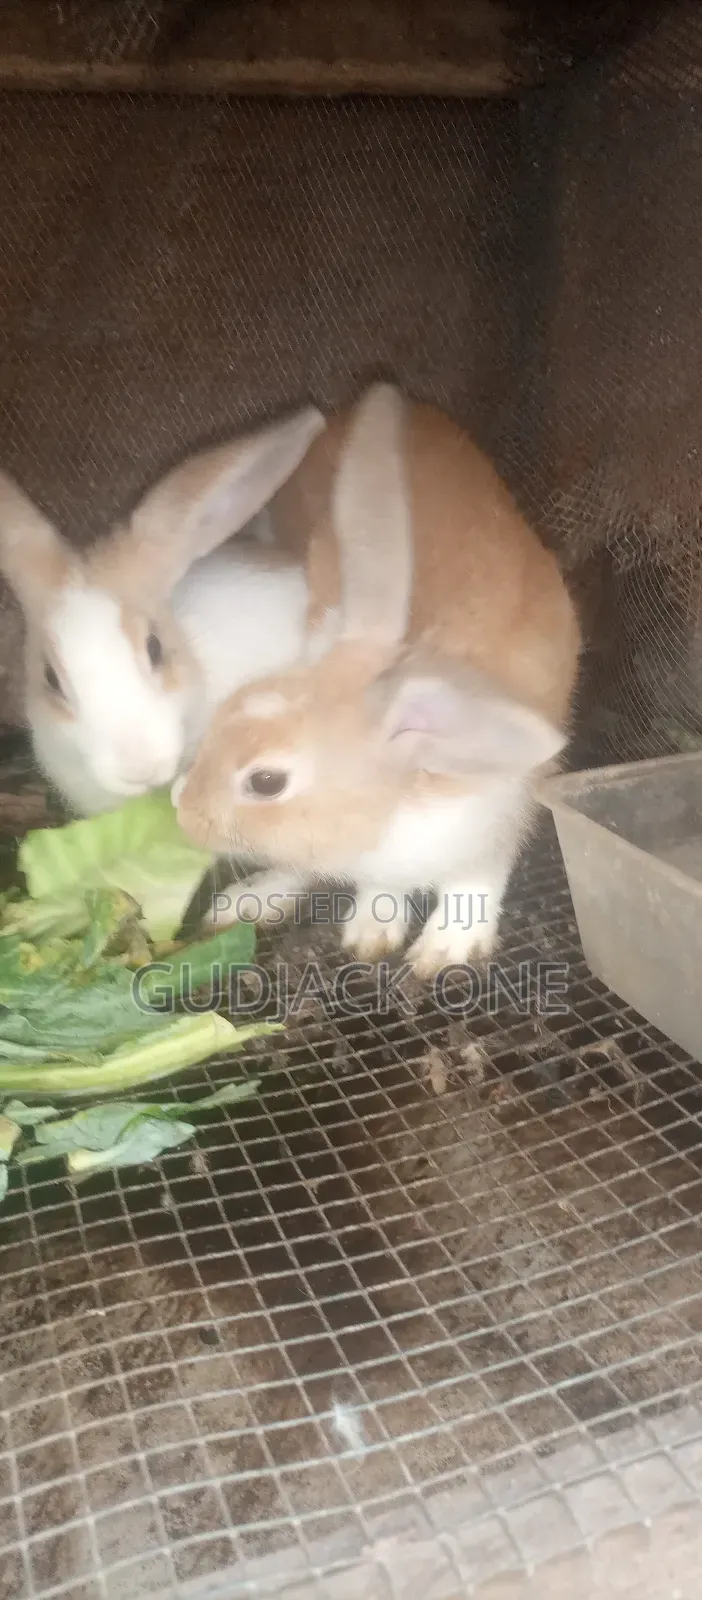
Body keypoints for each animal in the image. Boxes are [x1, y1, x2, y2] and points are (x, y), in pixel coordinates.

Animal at [173, 382, 582, 978]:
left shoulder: (500, 816)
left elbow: (477, 876)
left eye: (266, 781)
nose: (181, 808)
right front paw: (371, 929)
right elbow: (371, 884)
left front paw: (447, 947)